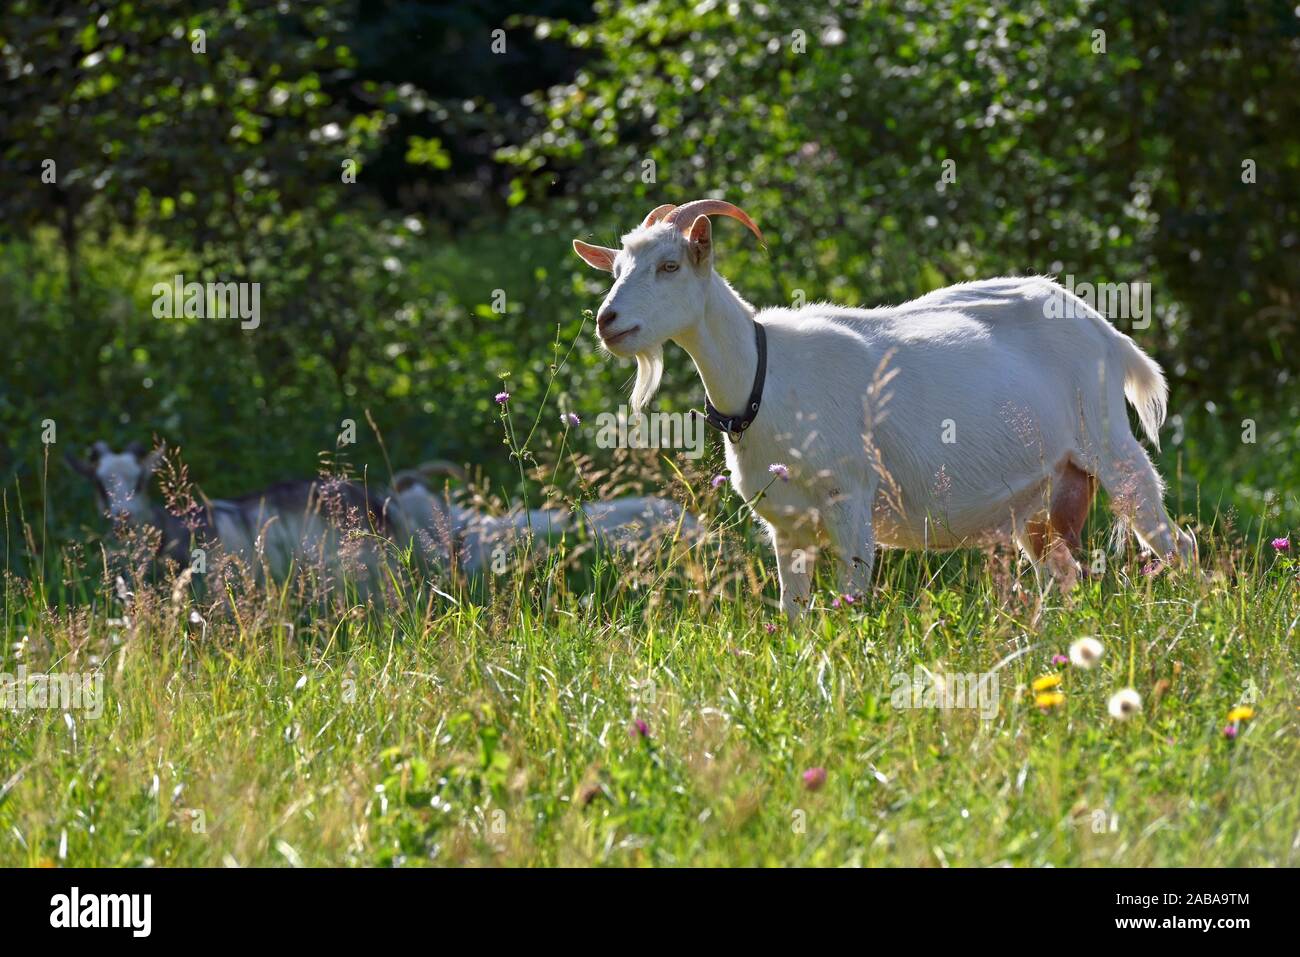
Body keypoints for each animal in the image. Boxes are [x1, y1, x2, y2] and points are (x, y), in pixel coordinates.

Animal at [573, 200, 1196, 617]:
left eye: (670, 266)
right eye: (615, 270)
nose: (608, 321)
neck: (764, 378)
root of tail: (1105, 331)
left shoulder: (849, 500)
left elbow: (853, 601)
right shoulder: (786, 525)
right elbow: (794, 615)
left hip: (1109, 445)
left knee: (1175, 543)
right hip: (1042, 498)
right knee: (1062, 575)